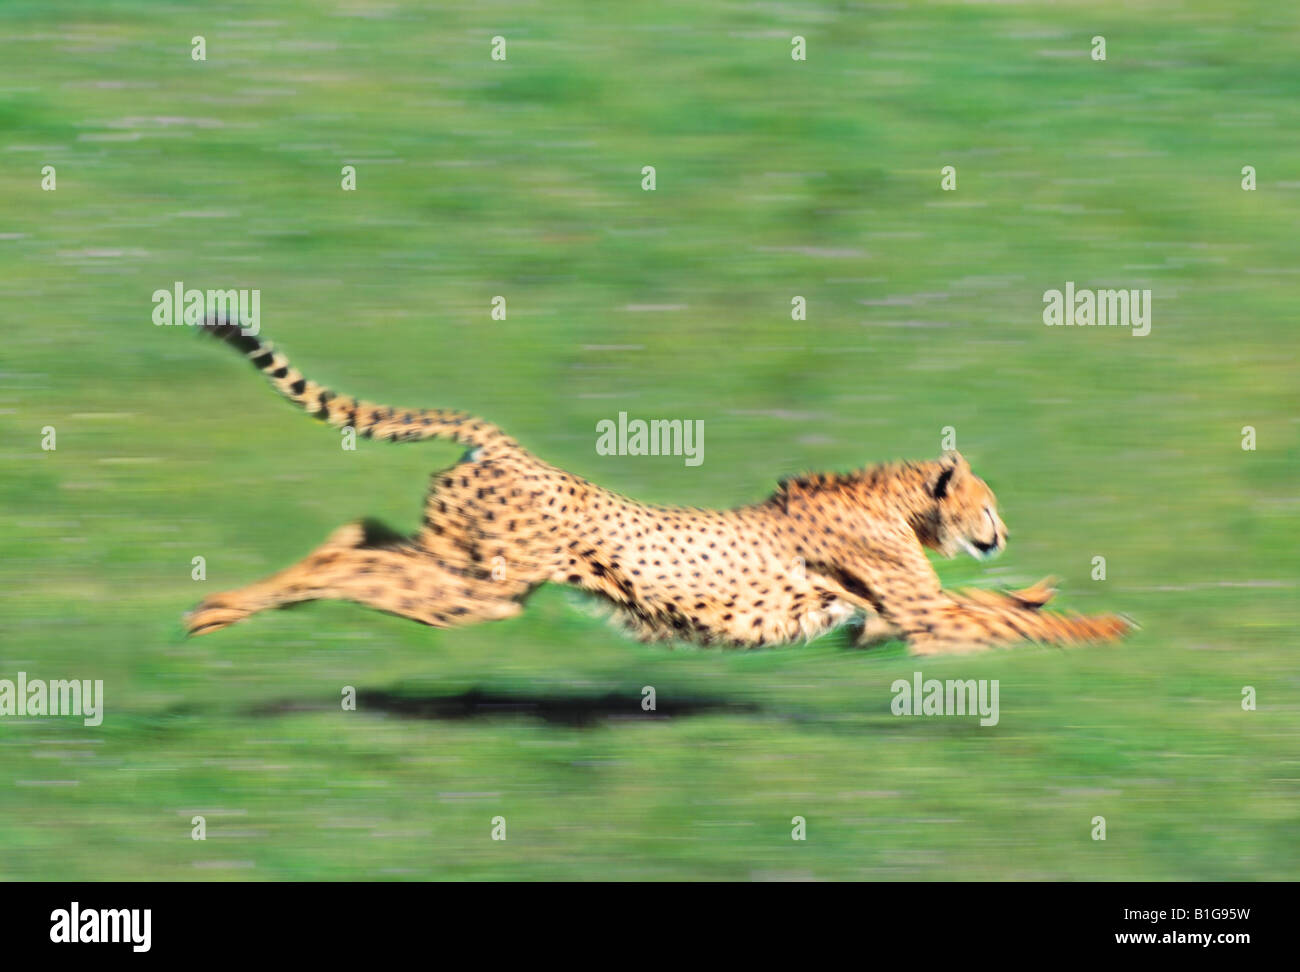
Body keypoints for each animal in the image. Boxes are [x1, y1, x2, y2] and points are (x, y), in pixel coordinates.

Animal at [184, 320, 1133, 656]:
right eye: (988, 501)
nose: (1000, 534)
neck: (894, 502)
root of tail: (505, 444)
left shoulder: (896, 614)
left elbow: (995, 607)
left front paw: (1045, 594)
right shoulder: (919, 613)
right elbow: (996, 618)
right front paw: (1096, 626)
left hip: (460, 564)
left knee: (349, 536)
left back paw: (224, 608)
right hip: (479, 589)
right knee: (349, 563)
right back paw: (218, 609)